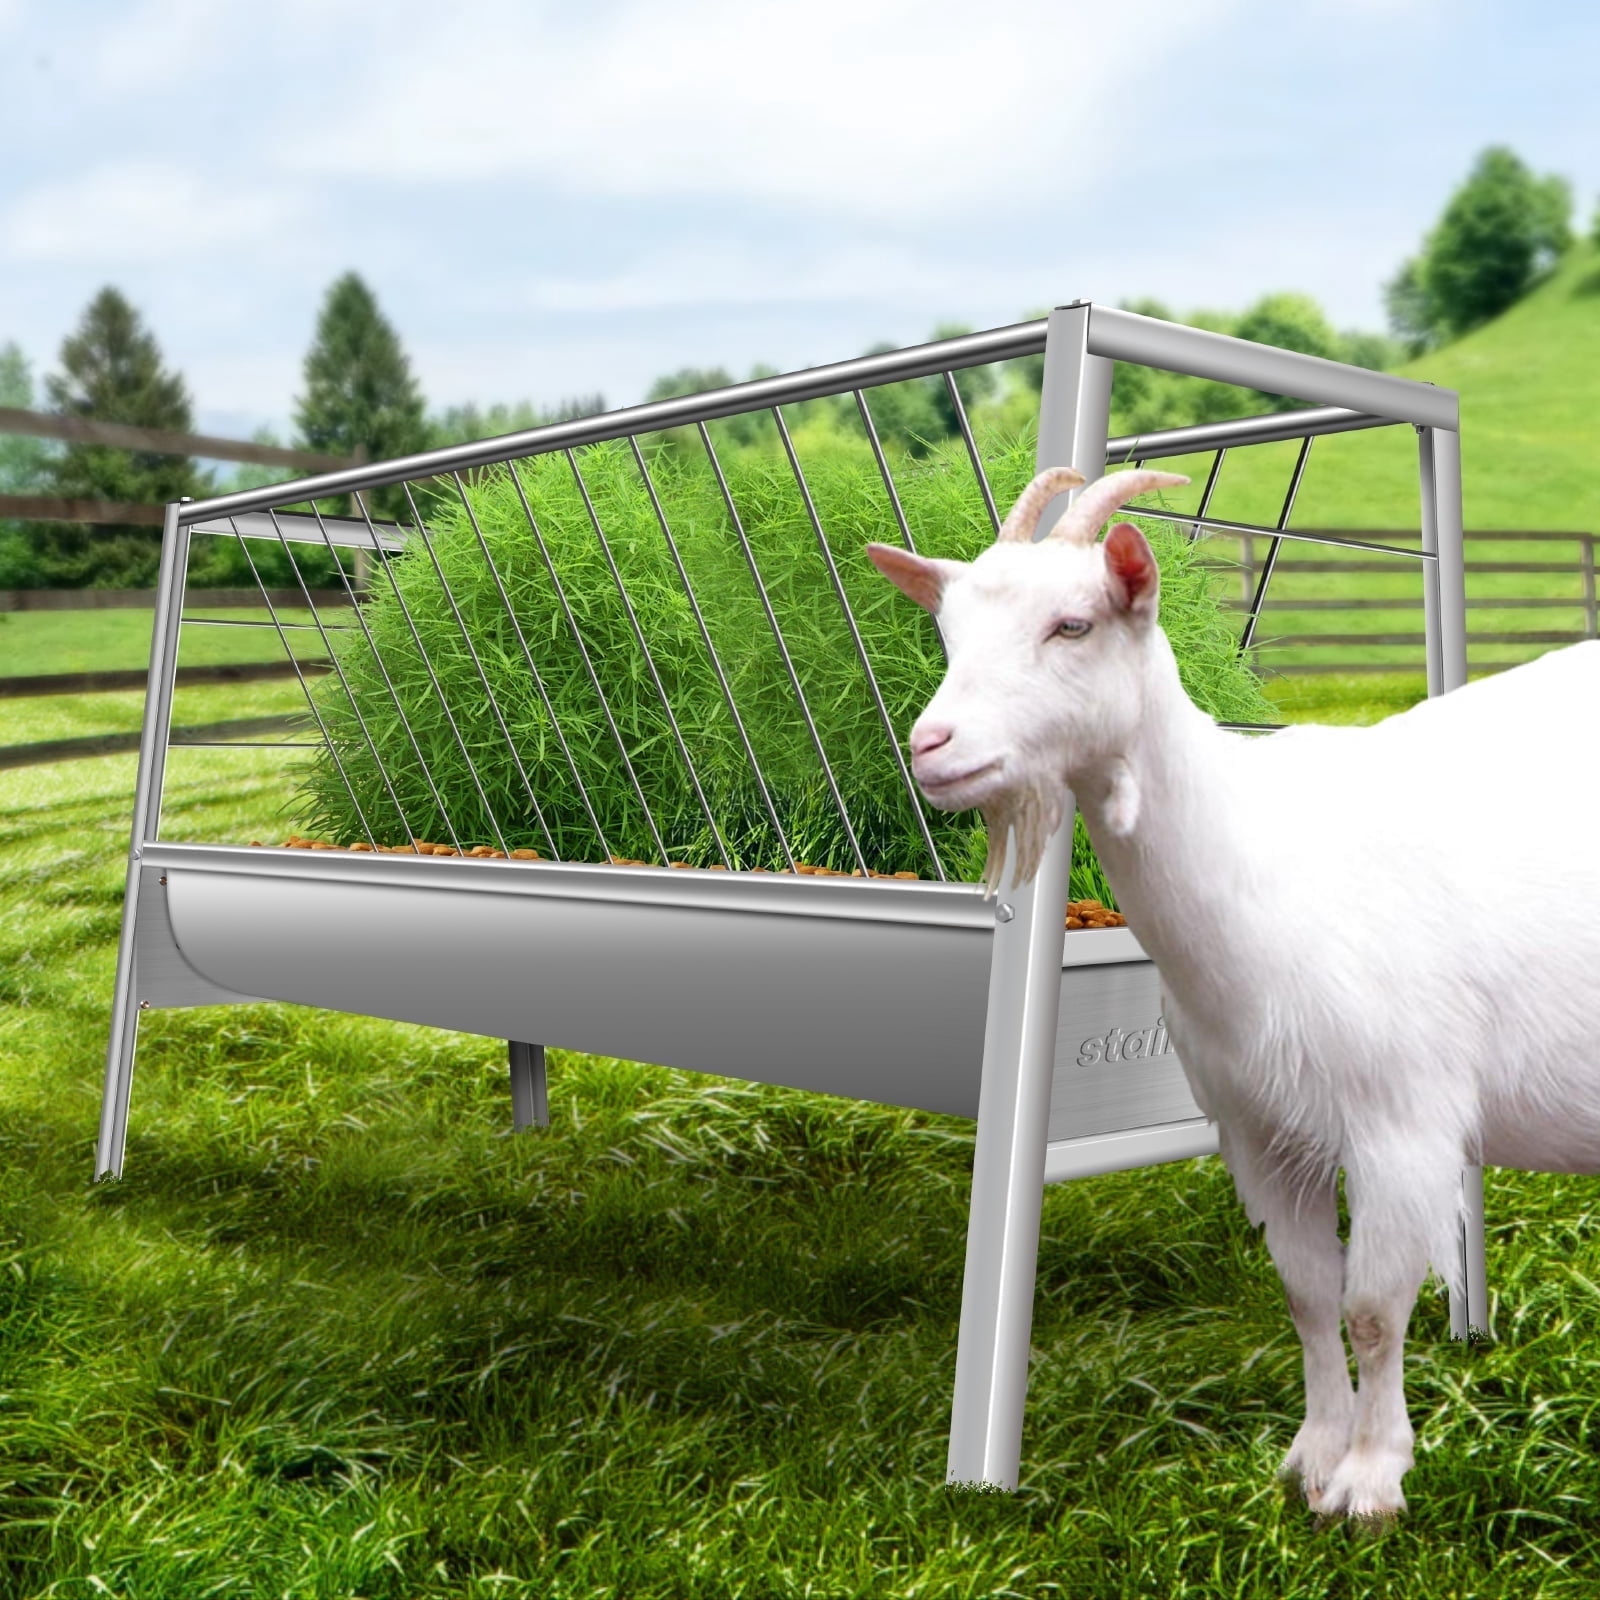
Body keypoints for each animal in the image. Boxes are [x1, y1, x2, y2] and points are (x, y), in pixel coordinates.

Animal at [866, 466, 1600, 1519]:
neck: (1258, 854)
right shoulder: (1260, 1130)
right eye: (950, 632)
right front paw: (1311, 1459)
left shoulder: (1403, 1122)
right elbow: (1309, 1297)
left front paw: (1372, 1482)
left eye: (1074, 624)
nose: (932, 748)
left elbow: (1373, 1309)